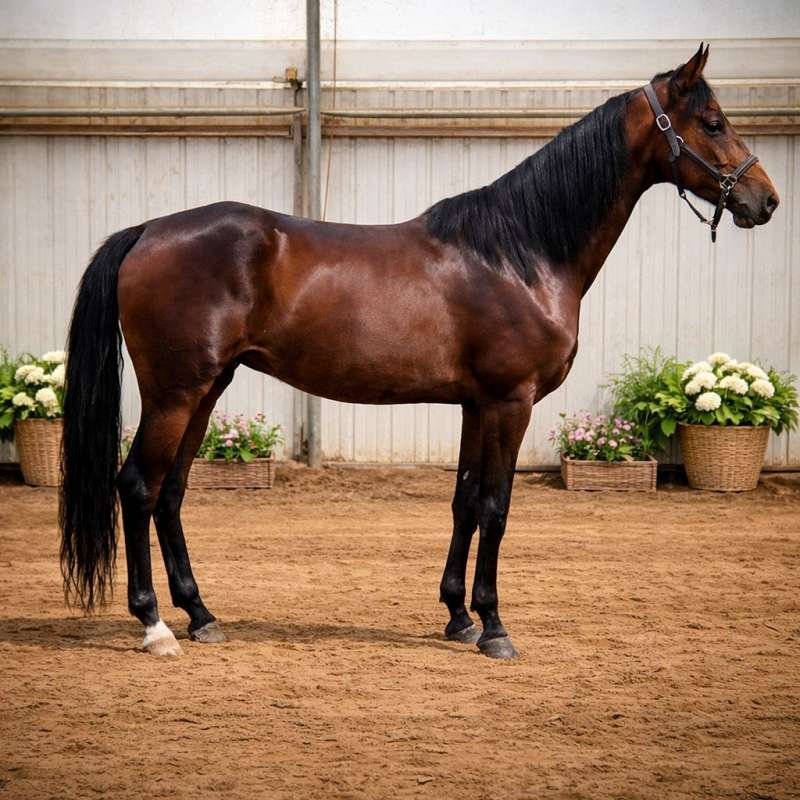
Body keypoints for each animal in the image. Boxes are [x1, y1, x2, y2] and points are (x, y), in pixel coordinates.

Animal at [59, 45, 778, 658]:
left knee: (171, 493)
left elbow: (464, 501)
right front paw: (495, 628)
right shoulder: (510, 402)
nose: (764, 199)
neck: (519, 254)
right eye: (713, 122)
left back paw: (202, 615)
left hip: (208, 389)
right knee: (138, 486)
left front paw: (459, 616)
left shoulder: (476, 405)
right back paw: (155, 626)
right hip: (176, 393)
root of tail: (147, 230)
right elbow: (495, 507)